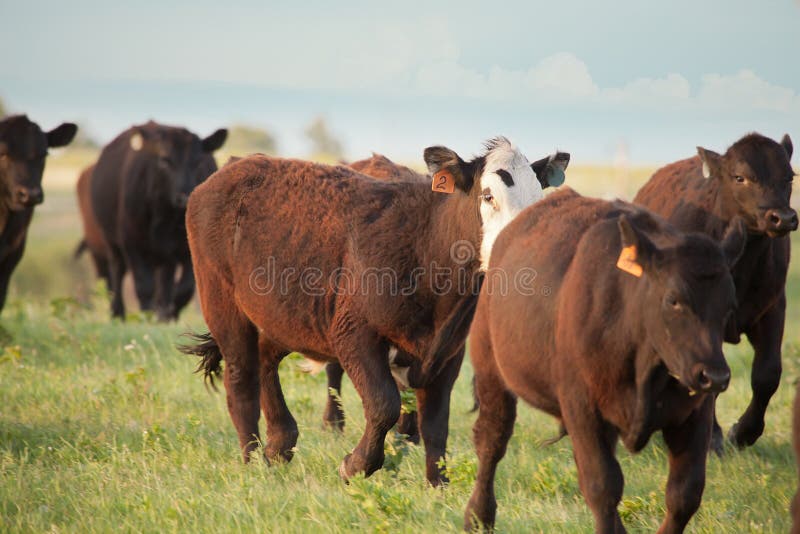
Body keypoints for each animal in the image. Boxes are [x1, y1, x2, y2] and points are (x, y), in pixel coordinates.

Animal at [85, 121, 227, 320]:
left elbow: (184, 290)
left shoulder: (188, 250)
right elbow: (144, 286)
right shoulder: (133, 244)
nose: (185, 196)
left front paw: (169, 315)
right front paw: (148, 316)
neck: (166, 215)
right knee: (117, 273)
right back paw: (118, 312)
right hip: (113, 243)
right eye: (165, 160)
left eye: (198, 161)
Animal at [181, 137, 569, 486]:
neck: (424, 245)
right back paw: (251, 462)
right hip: (222, 302)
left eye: (538, 201)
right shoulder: (354, 333)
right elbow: (385, 406)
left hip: (285, 316)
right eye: (488, 196)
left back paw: (279, 445)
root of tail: (233, 168)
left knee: (264, 359)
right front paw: (354, 465)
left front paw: (437, 484)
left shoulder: (448, 352)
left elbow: (435, 424)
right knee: (241, 379)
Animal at [463, 188, 745, 532]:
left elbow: (684, 494)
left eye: (730, 305)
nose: (714, 376)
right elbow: (602, 485)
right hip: (491, 372)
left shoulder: (694, 413)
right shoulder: (582, 408)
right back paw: (478, 516)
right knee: (491, 441)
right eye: (674, 300)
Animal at [634, 133, 795, 452]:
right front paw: (713, 439)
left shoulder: (773, 308)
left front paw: (743, 433)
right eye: (740, 177)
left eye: (789, 176)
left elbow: (767, 374)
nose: (782, 218)